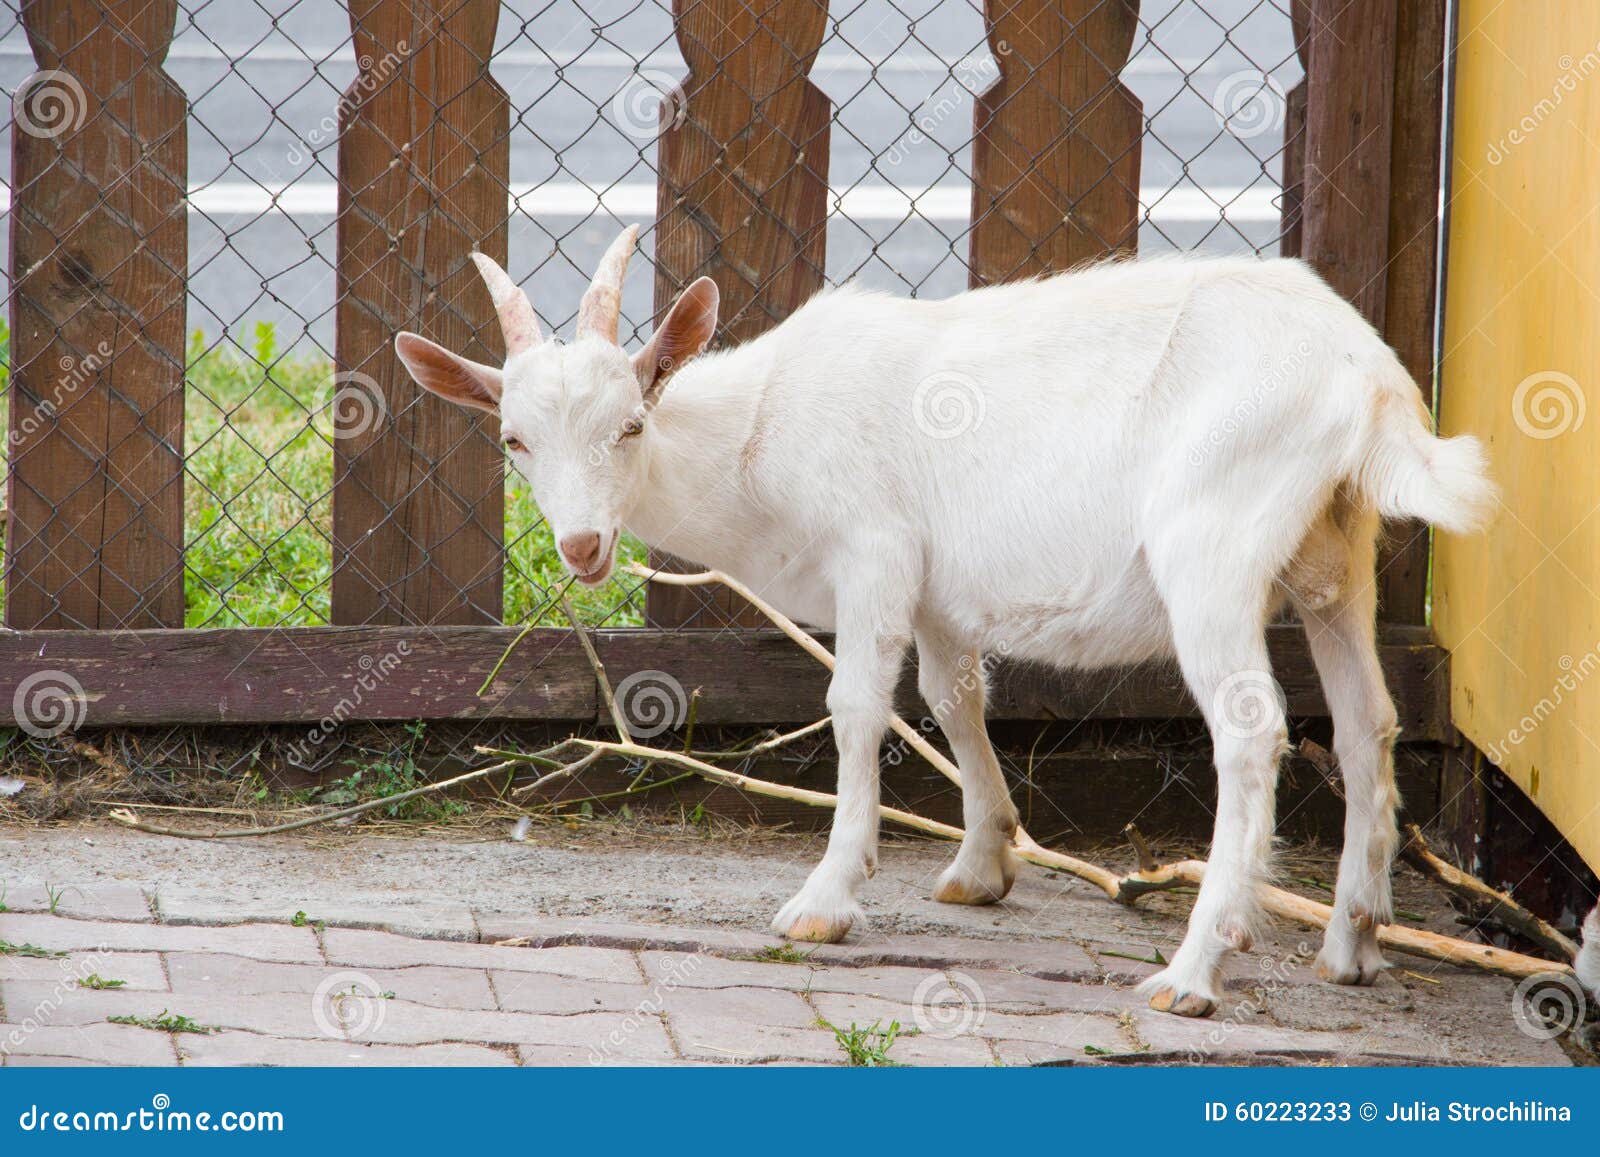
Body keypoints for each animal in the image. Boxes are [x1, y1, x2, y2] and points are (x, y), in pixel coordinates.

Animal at [397, 226, 1494, 1018]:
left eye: (630, 424)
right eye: (514, 438)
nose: (584, 546)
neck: (757, 432)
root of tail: (1369, 381)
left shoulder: (873, 551)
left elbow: (856, 705)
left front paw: (825, 901)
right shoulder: (935, 589)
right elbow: (952, 697)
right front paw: (981, 863)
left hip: (1212, 544)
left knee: (1251, 728)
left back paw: (1193, 971)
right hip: (1333, 553)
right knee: (1367, 720)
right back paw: (1352, 942)